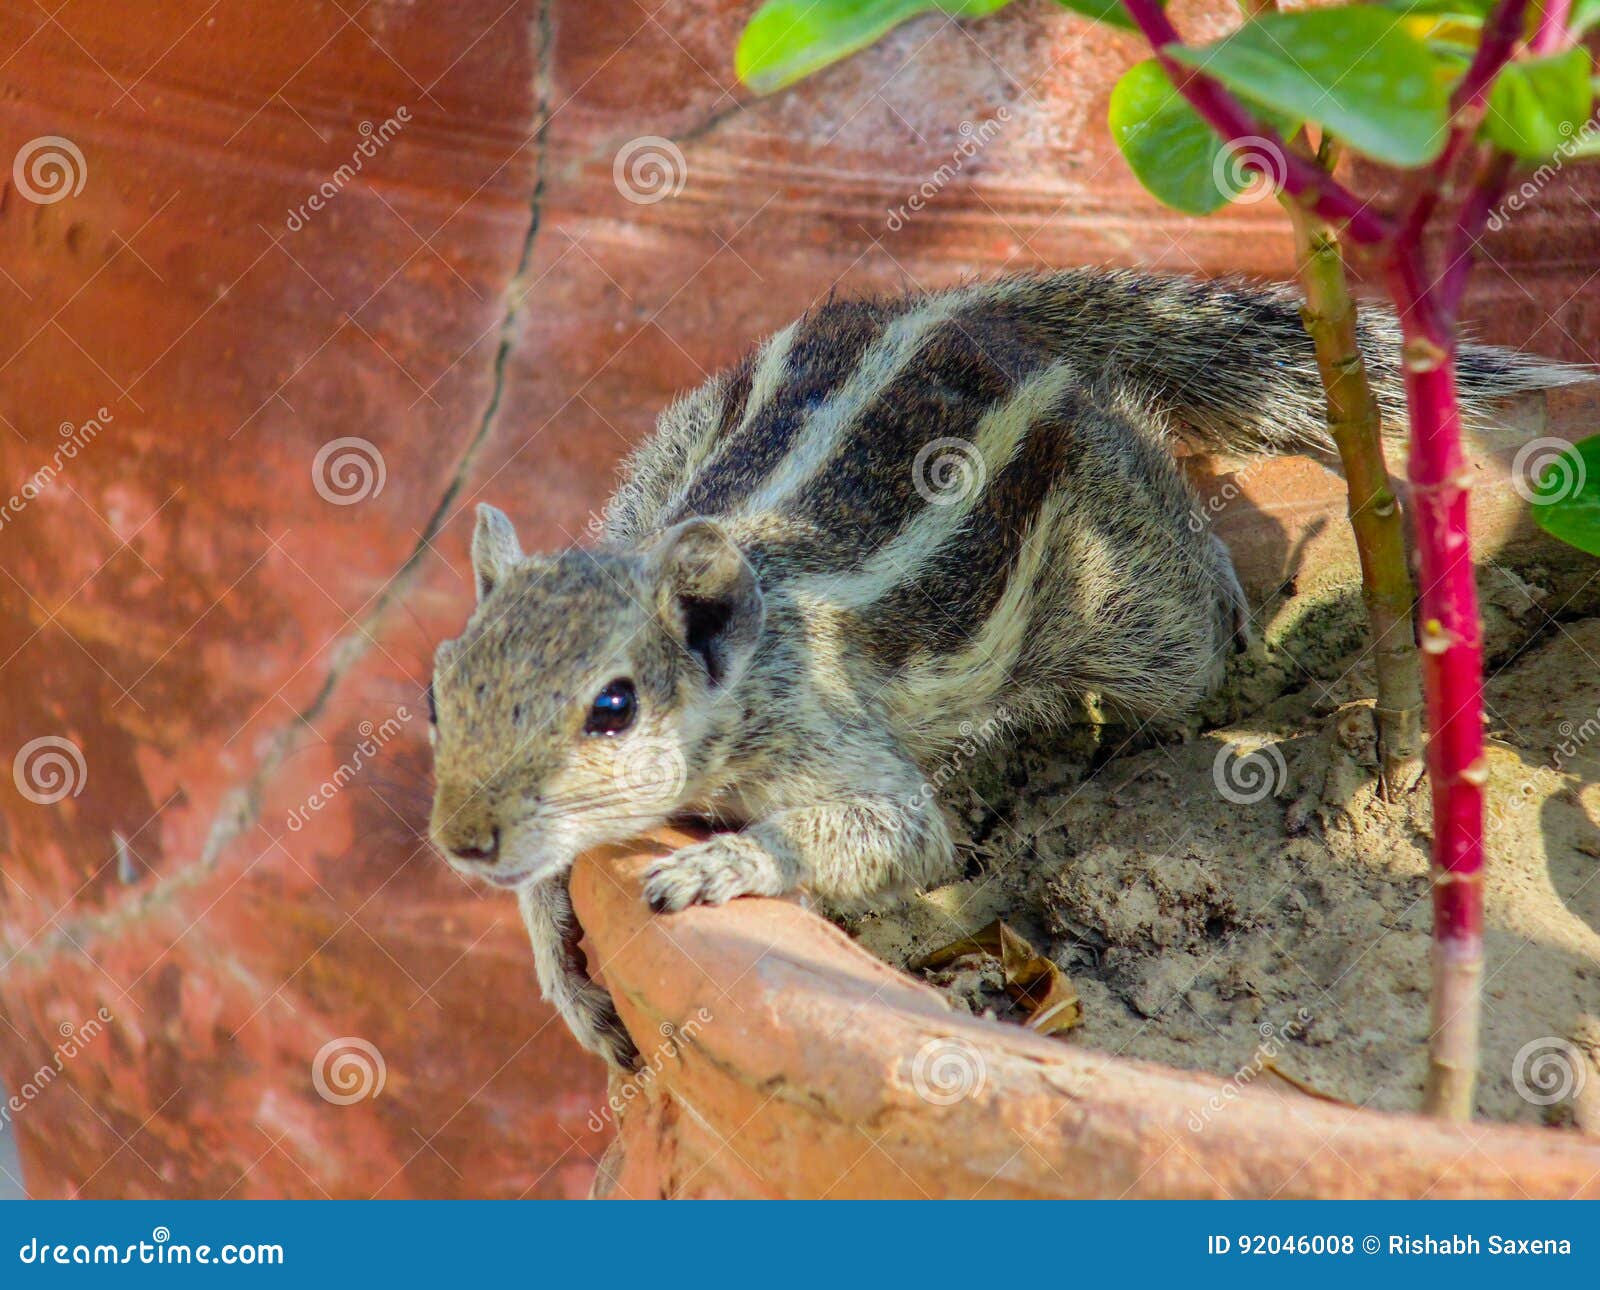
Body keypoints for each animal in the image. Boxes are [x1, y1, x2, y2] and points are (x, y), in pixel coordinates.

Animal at [426, 268, 1584, 1070]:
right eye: (438, 697)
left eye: (613, 708)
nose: (462, 841)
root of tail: (967, 309)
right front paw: (557, 958)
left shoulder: (832, 735)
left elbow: (898, 835)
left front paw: (730, 864)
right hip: (666, 452)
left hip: (1132, 595)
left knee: (1158, 501)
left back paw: (1218, 586)